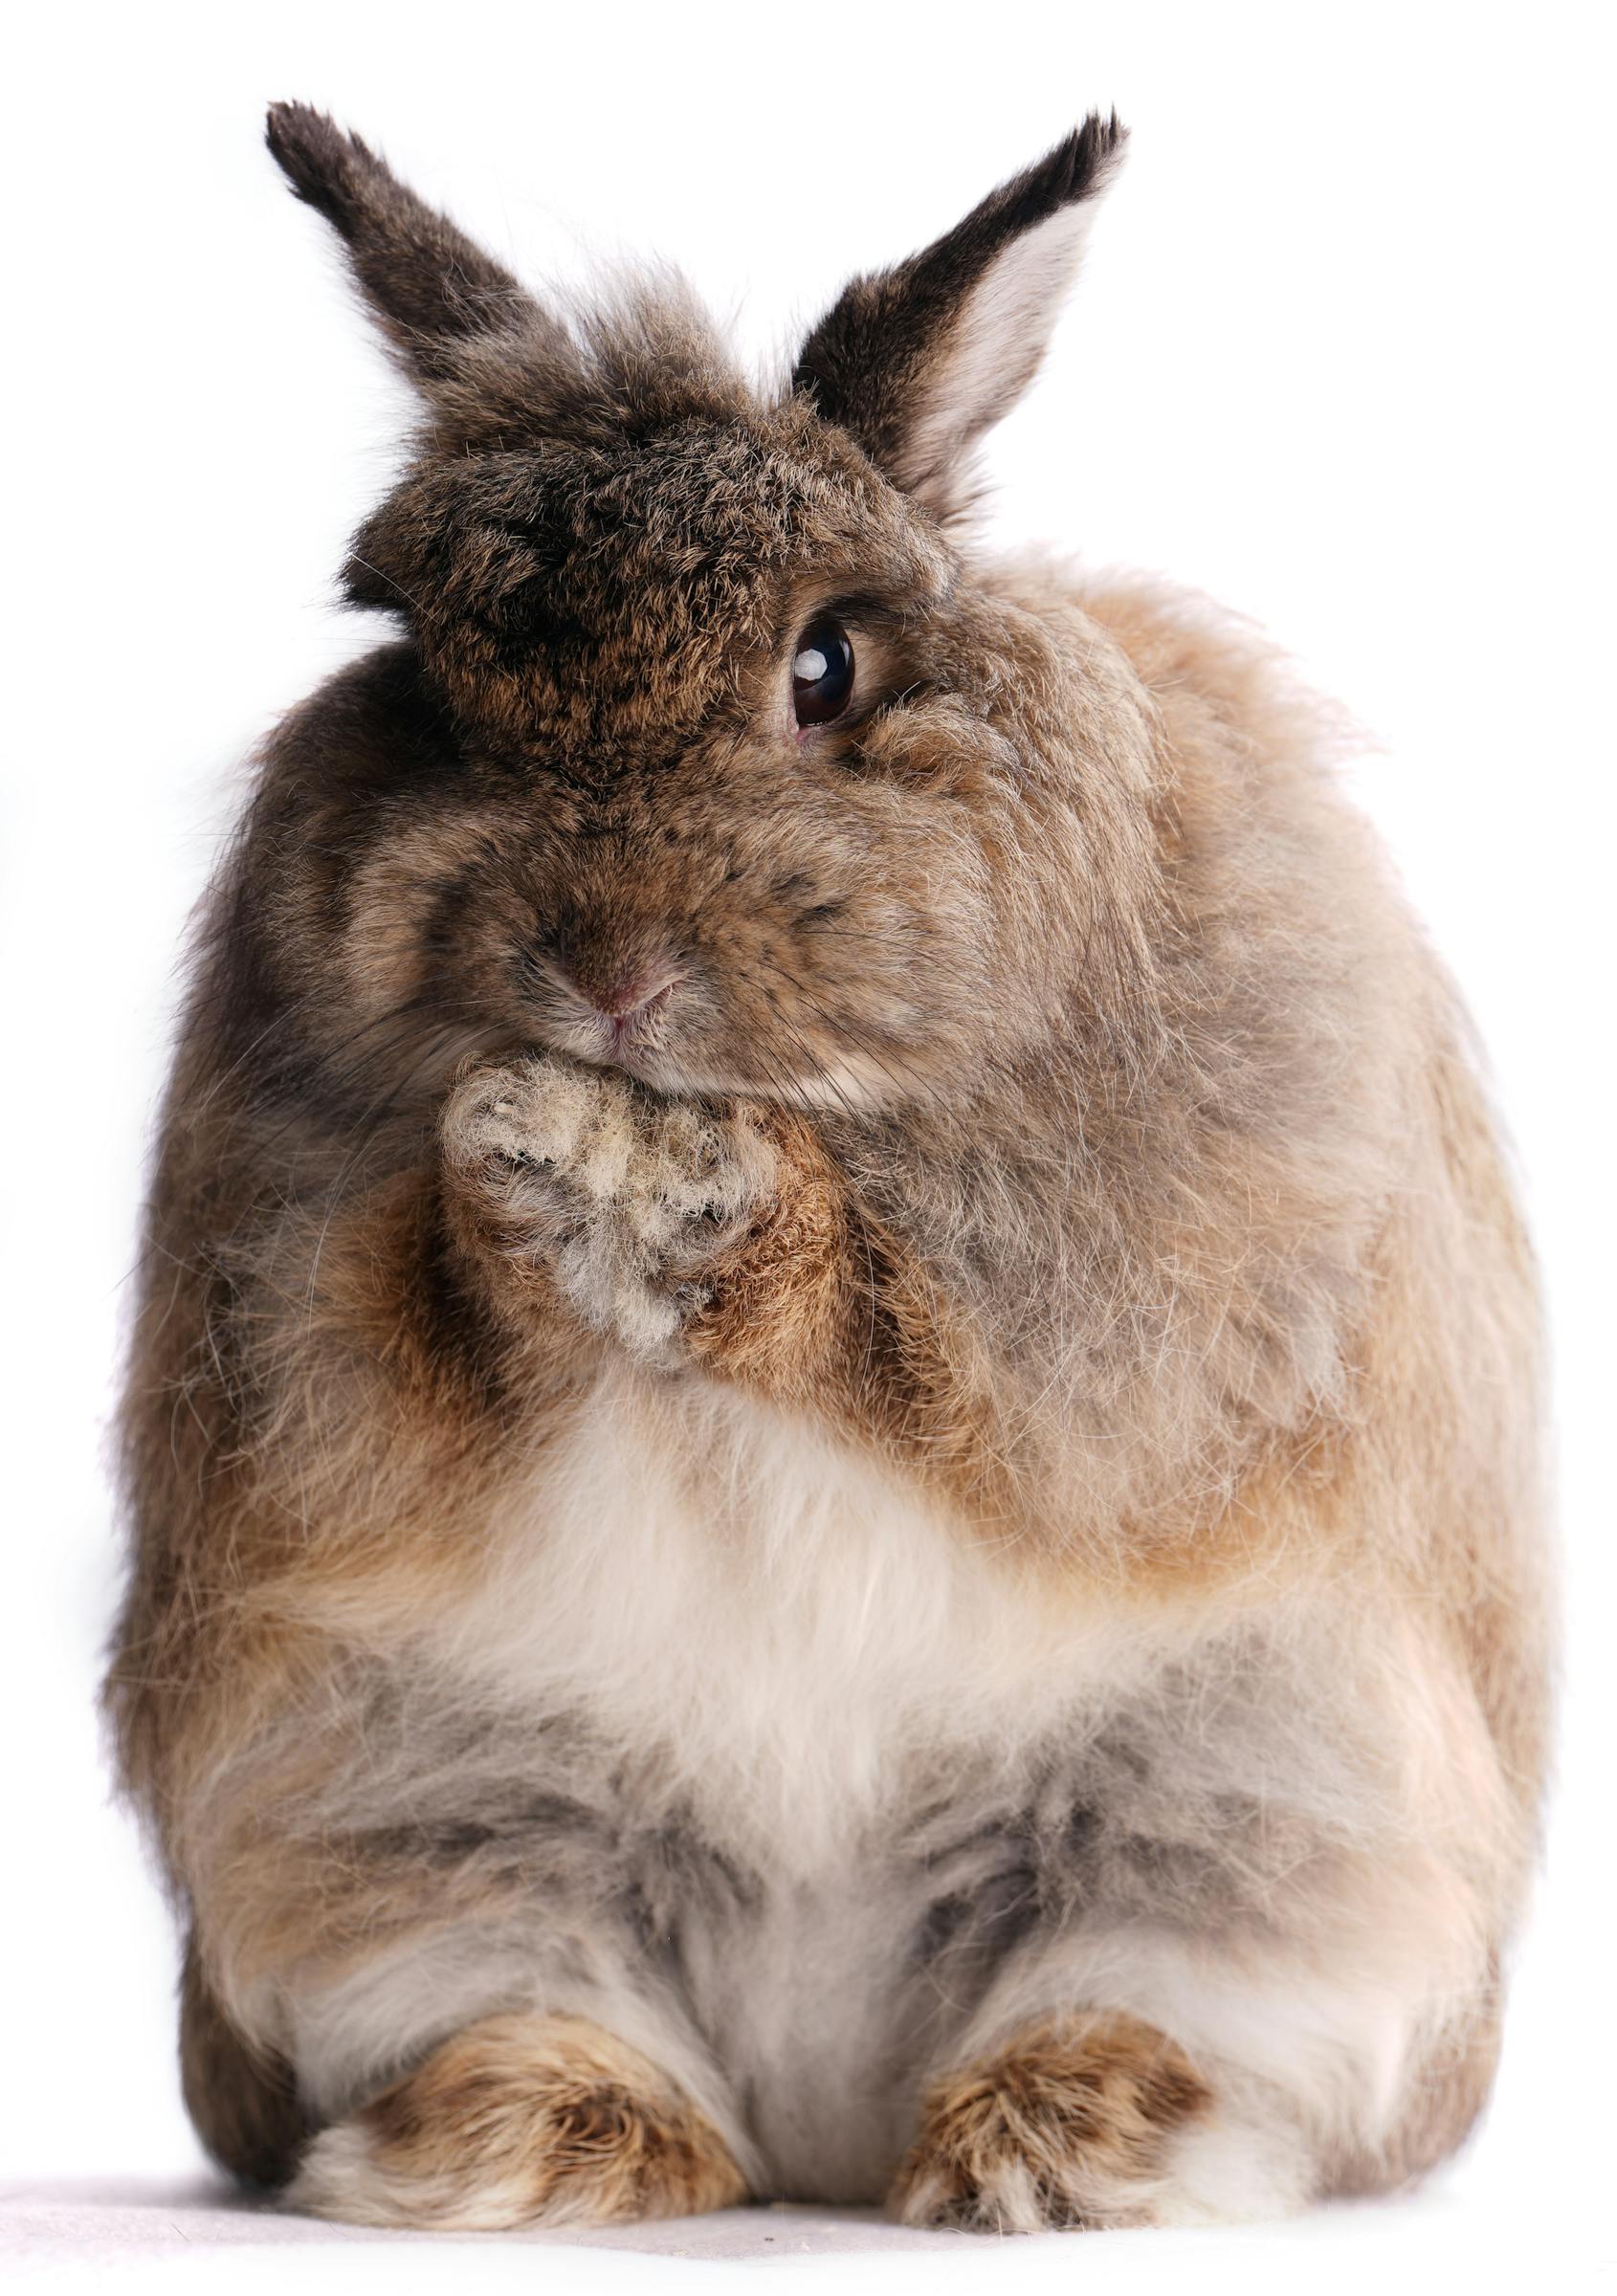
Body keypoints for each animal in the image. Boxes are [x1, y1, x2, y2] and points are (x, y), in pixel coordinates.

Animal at [105, 101, 1552, 2235]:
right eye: (428, 683)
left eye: (826, 670)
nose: (600, 968)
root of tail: (822, 2124)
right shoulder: (279, 1314)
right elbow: (410, 1338)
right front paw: (522, 1175)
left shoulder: (1121, 1310)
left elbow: (928, 1343)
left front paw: (712, 1207)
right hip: (388, 1810)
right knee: (518, 1981)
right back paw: (554, 2144)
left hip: (1277, 1804)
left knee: (1173, 1997)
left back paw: (1043, 2144)